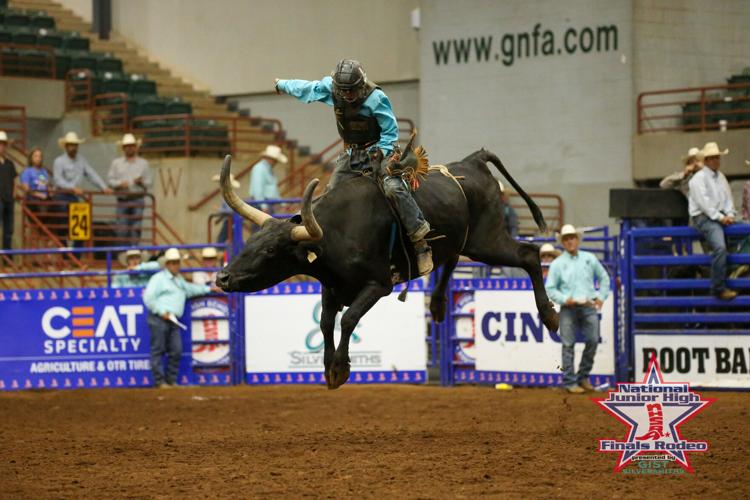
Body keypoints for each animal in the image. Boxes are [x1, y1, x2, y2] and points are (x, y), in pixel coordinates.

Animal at [216, 148, 559, 389]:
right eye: (251, 241)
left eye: (271, 250)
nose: (222, 277)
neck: (337, 233)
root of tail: (472, 162)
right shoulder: (331, 286)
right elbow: (325, 322)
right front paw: (327, 367)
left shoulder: (379, 284)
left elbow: (348, 319)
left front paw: (340, 368)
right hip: (465, 241)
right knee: (451, 259)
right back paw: (437, 305)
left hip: (487, 240)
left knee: (529, 255)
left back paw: (550, 316)